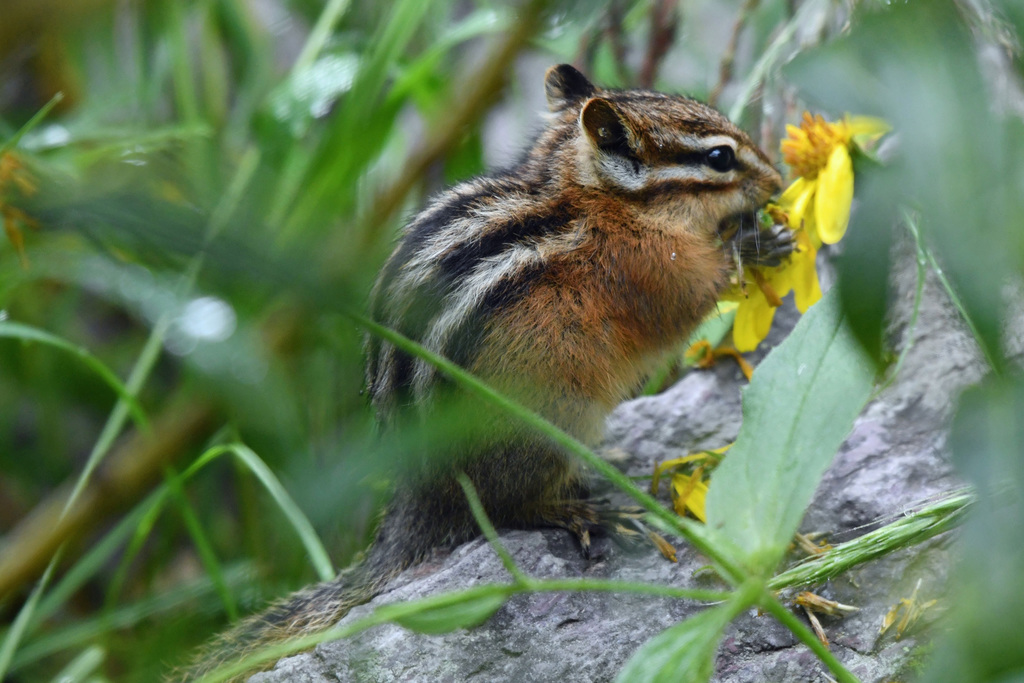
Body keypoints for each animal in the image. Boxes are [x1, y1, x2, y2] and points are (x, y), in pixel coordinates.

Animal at [179, 64, 788, 681]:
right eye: (720, 158)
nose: (778, 180)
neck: (598, 201)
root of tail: (422, 497)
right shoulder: (652, 273)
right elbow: (696, 292)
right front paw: (759, 242)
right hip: (548, 424)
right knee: (510, 509)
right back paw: (583, 511)